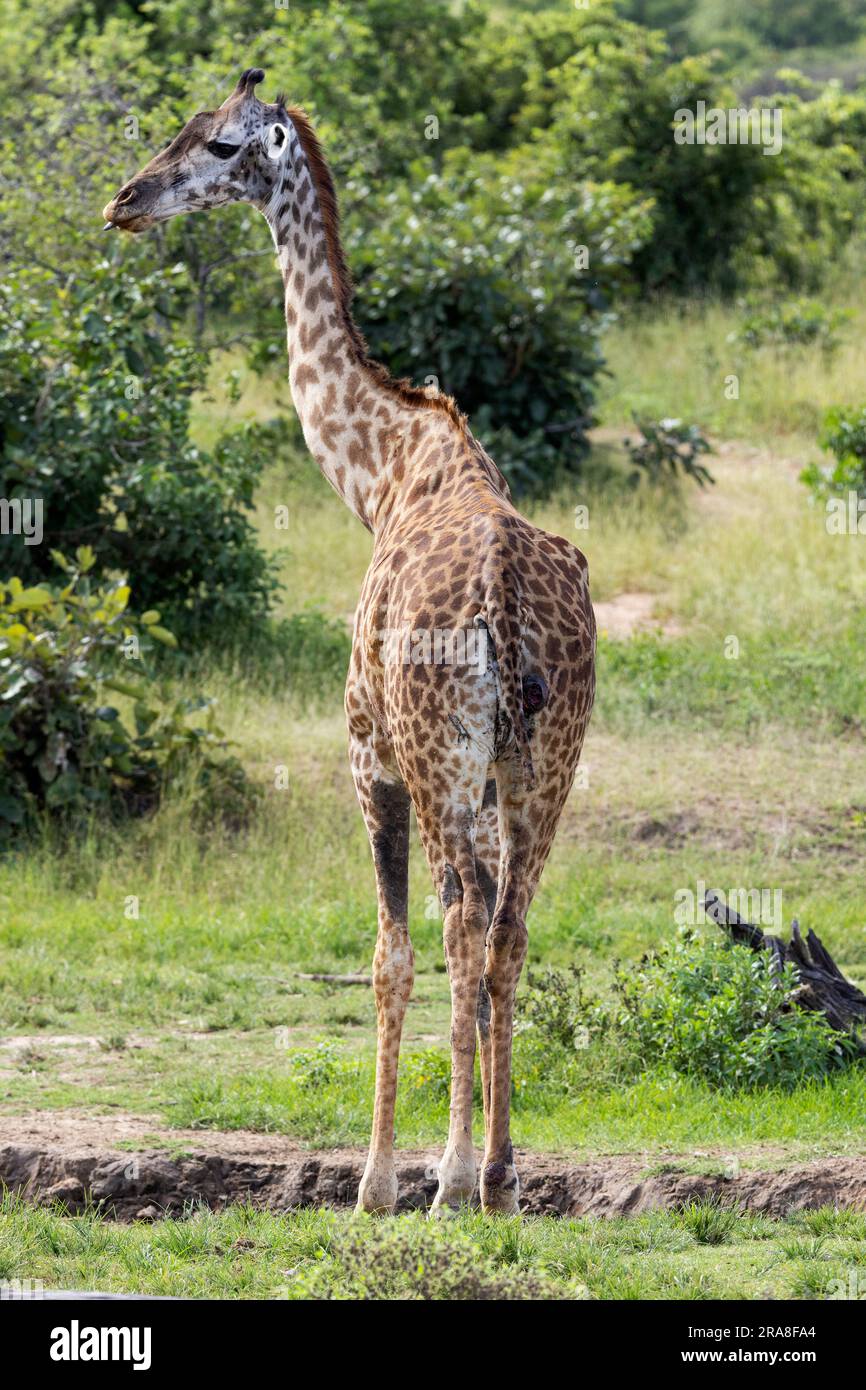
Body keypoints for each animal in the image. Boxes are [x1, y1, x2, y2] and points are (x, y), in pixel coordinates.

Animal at [103, 68, 596, 1217]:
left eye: (222, 144)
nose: (125, 202)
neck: (379, 473)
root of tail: (503, 603)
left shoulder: (365, 750)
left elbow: (388, 953)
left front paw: (376, 1181)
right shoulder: (489, 769)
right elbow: (473, 947)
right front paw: (470, 1168)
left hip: (438, 755)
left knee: (459, 927)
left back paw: (450, 1181)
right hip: (545, 763)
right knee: (507, 931)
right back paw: (499, 1176)